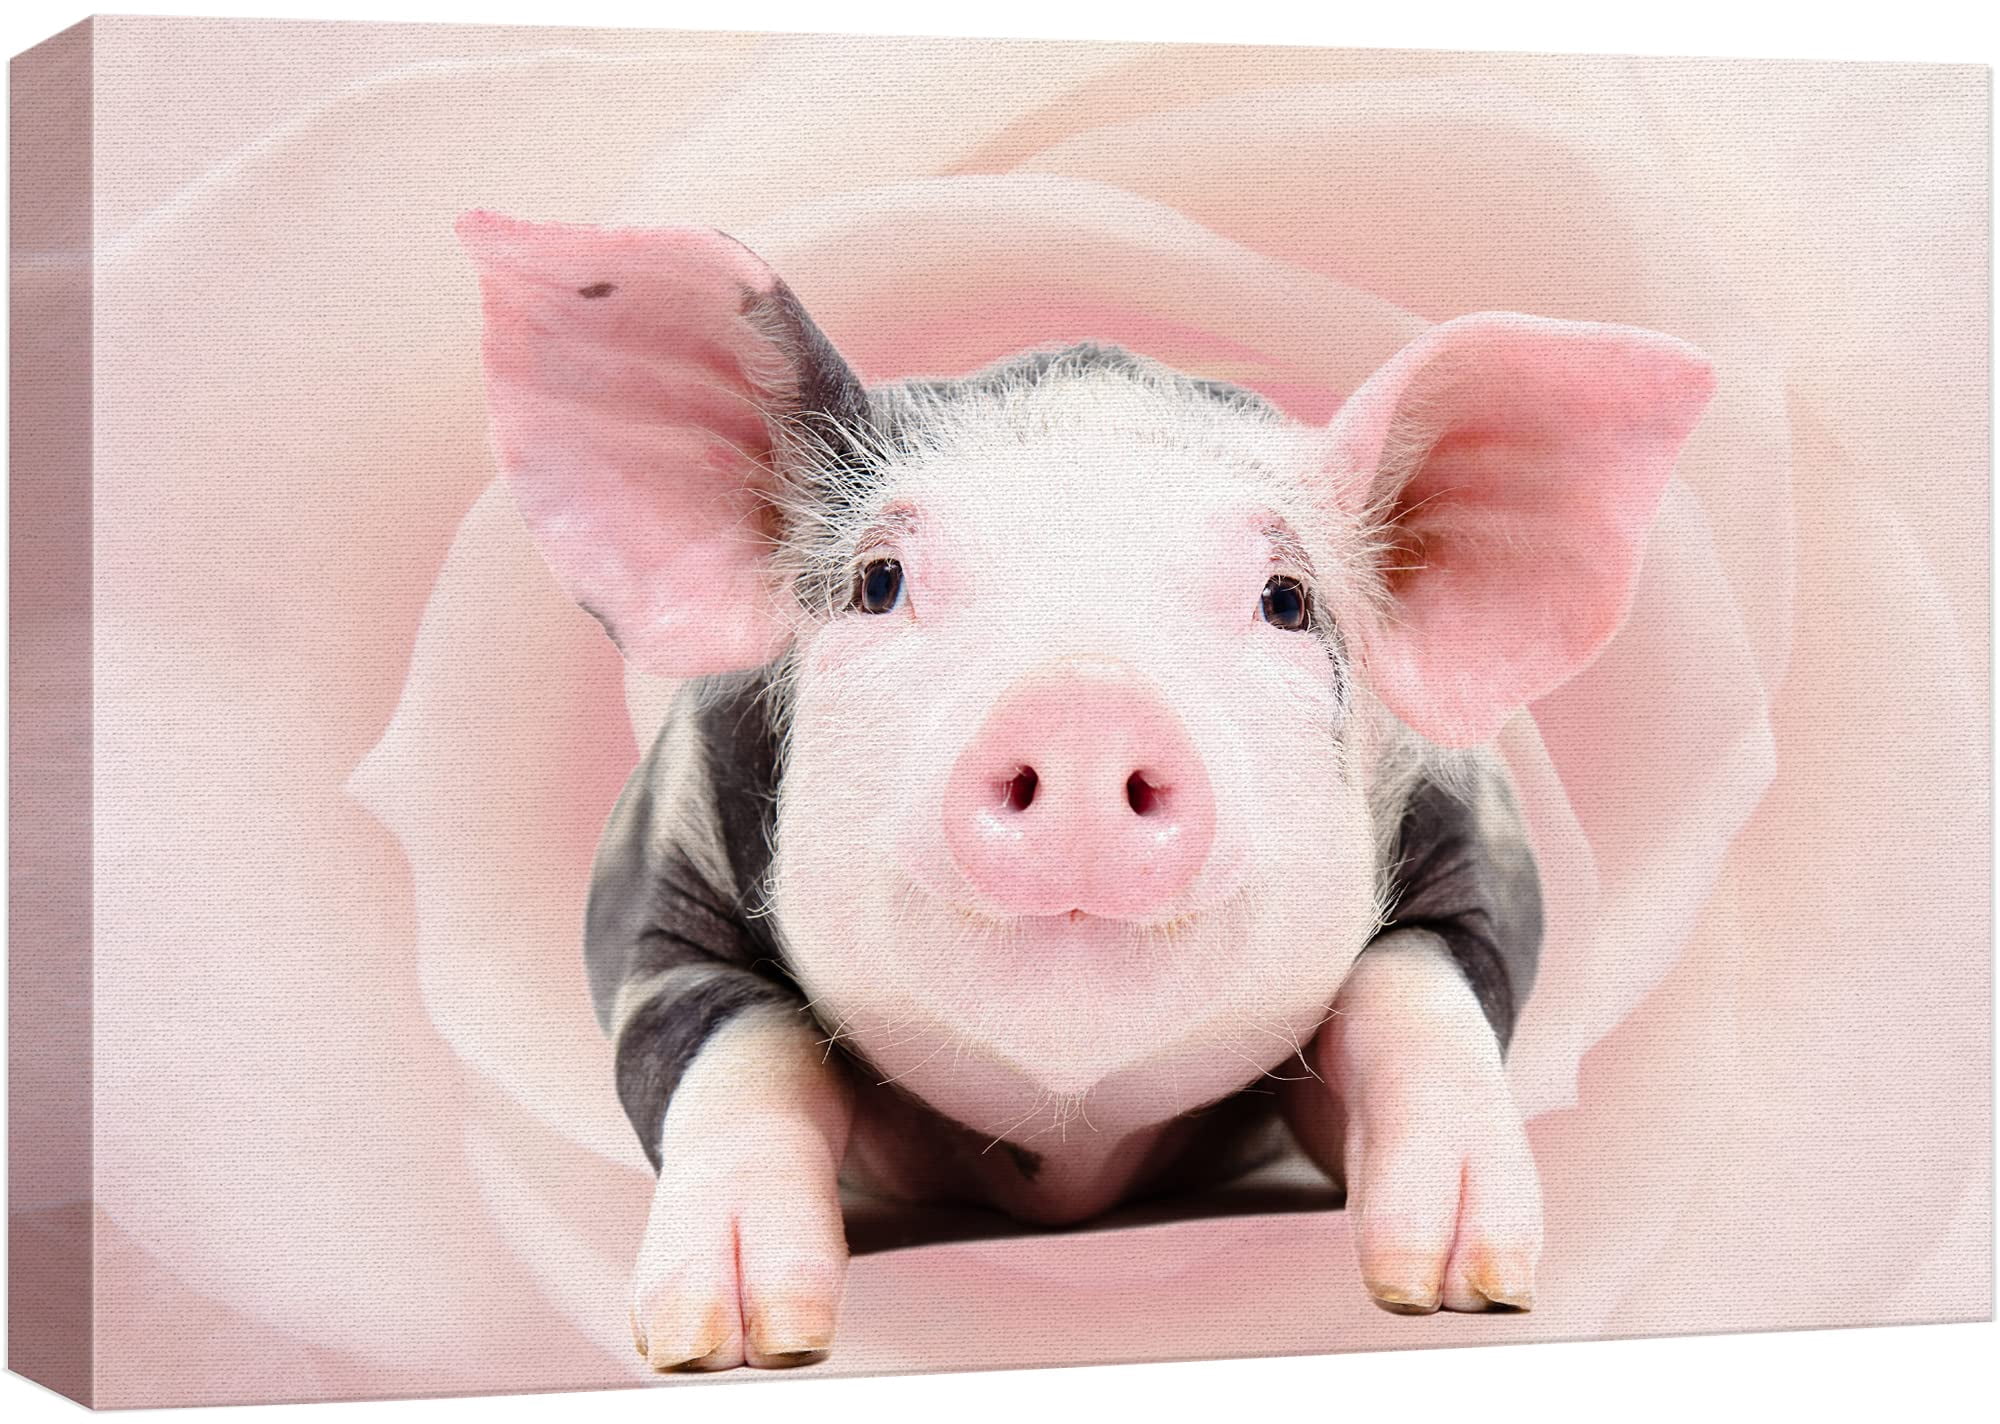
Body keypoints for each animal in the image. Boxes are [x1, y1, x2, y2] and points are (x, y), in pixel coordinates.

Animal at [456, 211, 1715, 1371]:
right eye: (879, 581)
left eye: (1285, 599)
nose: (1081, 697)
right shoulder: (656, 907)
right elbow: (728, 1042)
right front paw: (726, 1345)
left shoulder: (1476, 865)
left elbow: (1418, 986)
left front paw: (1463, 1290)